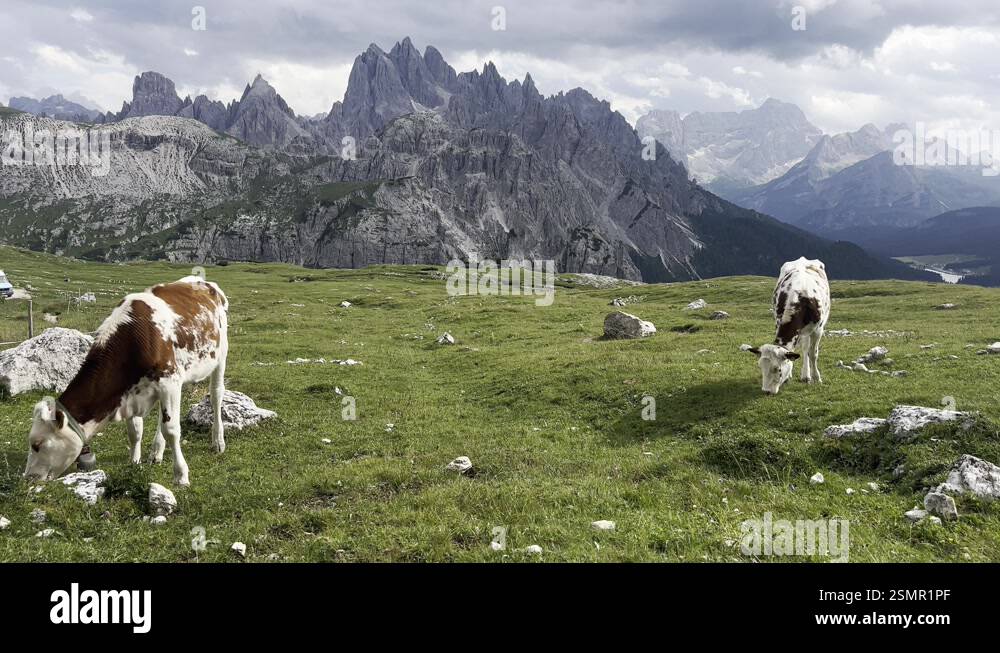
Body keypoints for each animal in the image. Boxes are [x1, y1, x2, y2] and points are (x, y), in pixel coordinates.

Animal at [24, 276, 229, 486]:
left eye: (37, 445)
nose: (28, 477)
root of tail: (200, 281)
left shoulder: (169, 380)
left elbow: (171, 430)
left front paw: (181, 475)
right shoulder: (131, 392)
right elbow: (135, 431)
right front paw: (134, 463)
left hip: (220, 356)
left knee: (216, 395)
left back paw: (218, 441)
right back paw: (156, 451)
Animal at [747, 257, 830, 395]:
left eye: (778, 369)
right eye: (760, 367)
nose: (766, 391)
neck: (801, 296)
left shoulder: (818, 330)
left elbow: (813, 354)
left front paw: (816, 378)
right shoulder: (777, 321)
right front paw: (789, 376)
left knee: (807, 349)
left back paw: (806, 375)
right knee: (804, 347)